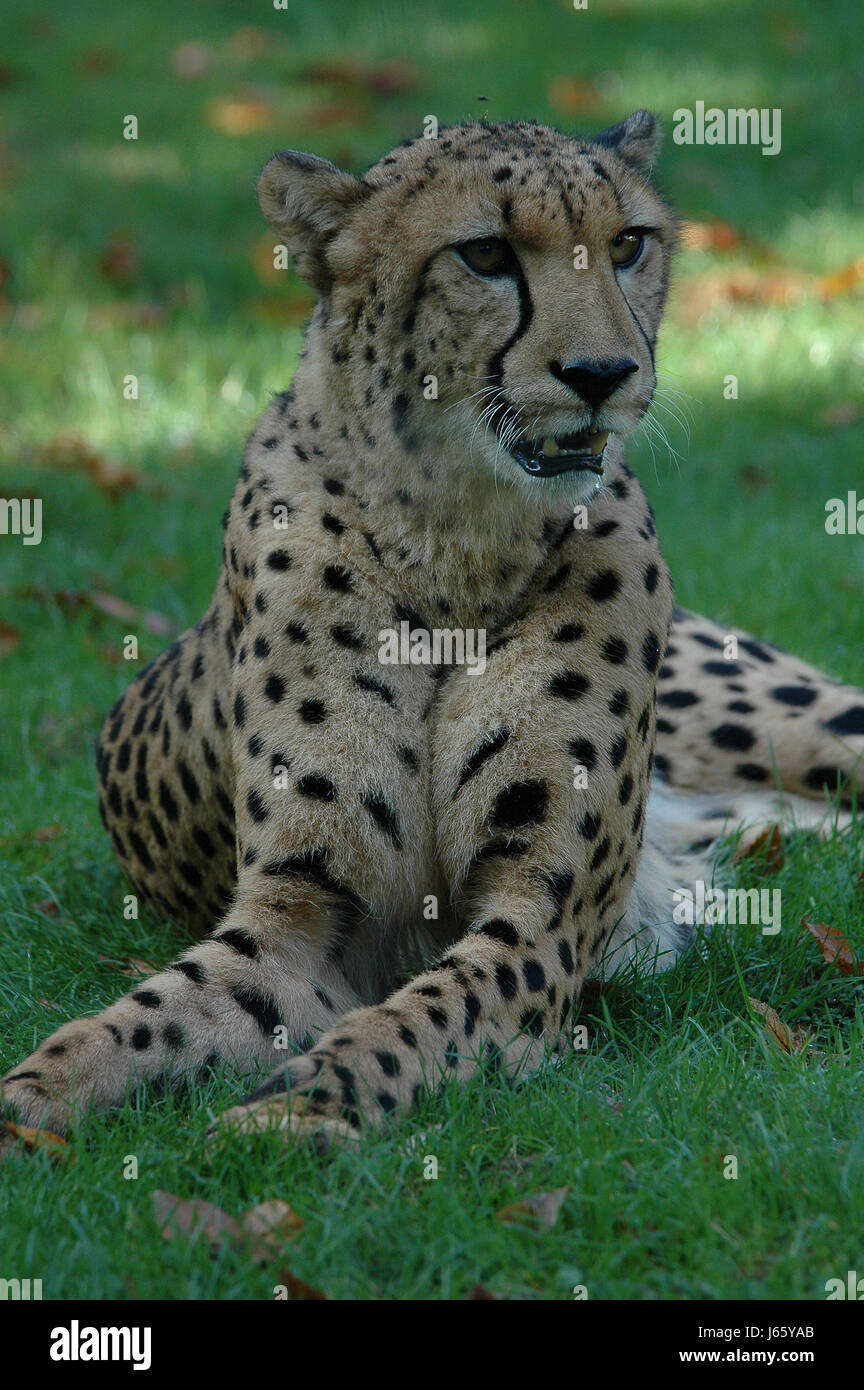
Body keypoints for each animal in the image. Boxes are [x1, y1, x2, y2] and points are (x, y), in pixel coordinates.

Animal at [4, 111, 863, 1147]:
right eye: (485, 254)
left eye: (628, 244)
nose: (603, 375)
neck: (454, 537)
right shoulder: (299, 919)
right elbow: (137, 1019)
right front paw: (32, 1102)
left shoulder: (539, 919)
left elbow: (410, 1022)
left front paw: (299, 1107)